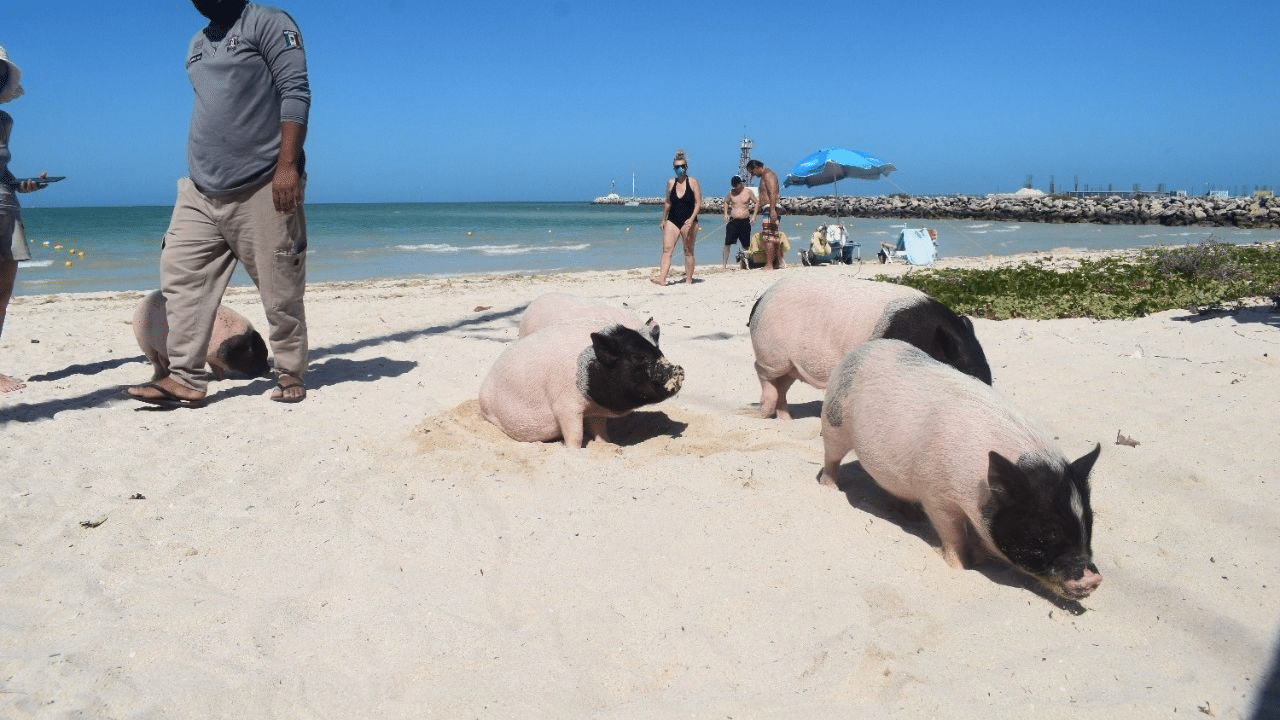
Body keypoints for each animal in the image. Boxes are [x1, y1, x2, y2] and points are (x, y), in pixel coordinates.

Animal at [132, 289, 271, 381]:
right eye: (251, 351)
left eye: (265, 350)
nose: (268, 370)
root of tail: (142, 302)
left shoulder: (213, 357)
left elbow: (218, 370)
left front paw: (221, 379)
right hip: (144, 343)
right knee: (155, 362)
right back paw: (156, 378)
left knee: (163, 360)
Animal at [479, 321, 684, 448]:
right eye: (638, 357)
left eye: (658, 350)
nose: (679, 369)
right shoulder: (565, 406)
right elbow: (575, 435)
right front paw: (571, 450)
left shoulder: (596, 412)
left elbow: (601, 430)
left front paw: (608, 445)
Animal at [748, 276, 991, 420]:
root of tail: (761, 299)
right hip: (772, 353)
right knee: (762, 373)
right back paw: (763, 412)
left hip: (791, 365)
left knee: (782, 386)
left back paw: (786, 420)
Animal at [819, 339, 1102, 601]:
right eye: (1046, 531)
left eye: (1089, 521)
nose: (1094, 579)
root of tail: (863, 348)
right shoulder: (937, 496)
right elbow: (953, 536)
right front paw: (962, 567)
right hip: (834, 421)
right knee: (831, 458)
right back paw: (831, 488)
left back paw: (911, 516)